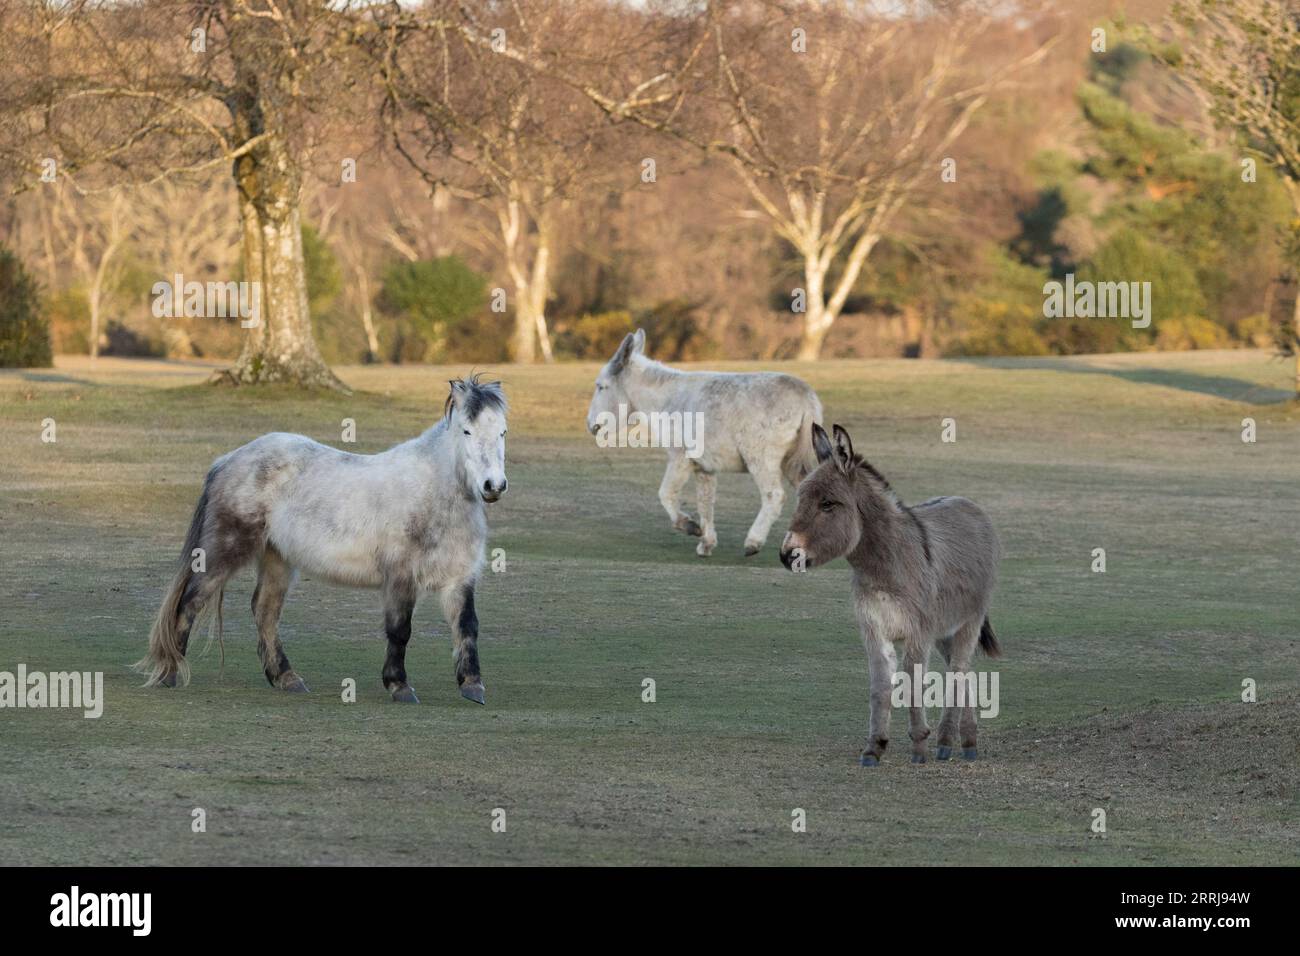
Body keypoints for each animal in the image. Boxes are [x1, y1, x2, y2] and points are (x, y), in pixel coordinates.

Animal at [135, 375, 508, 706]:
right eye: (466, 430)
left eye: (502, 431)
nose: (493, 485)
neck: (433, 492)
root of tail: (227, 460)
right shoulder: (401, 577)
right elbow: (400, 630)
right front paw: (399, 686)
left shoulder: (459, 578)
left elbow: (467, 626)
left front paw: (472, 685)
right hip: (223, 551)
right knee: (191, 601)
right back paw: (171, 673)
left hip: (277, 559)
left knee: (265, 611)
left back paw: (287, 678)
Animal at [585, 329, 824, 557]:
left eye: (601, 387)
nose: (591, 425)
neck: (667, 400)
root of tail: (806, 397)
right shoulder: (704, 467)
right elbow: (705, 502)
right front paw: (706, 543)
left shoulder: (680, 457)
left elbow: (666, 493)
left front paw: (689, 526)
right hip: (793, 461)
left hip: (761, 458)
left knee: (774, 495)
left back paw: (754, 542)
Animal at [779, 423, 1001, 765]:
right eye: (800, 499)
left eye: (828, 504)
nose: (787, 555)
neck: (882, 566)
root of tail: (968, 503)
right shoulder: (874, 629)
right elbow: (879, 687)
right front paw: (874, 747)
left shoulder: (917, 633)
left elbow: (912, 686)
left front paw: (919, 747)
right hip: (944, 631)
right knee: (965, 673)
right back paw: (967, 742)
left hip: (969, 621)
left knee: (958, 671)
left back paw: (946, 741)